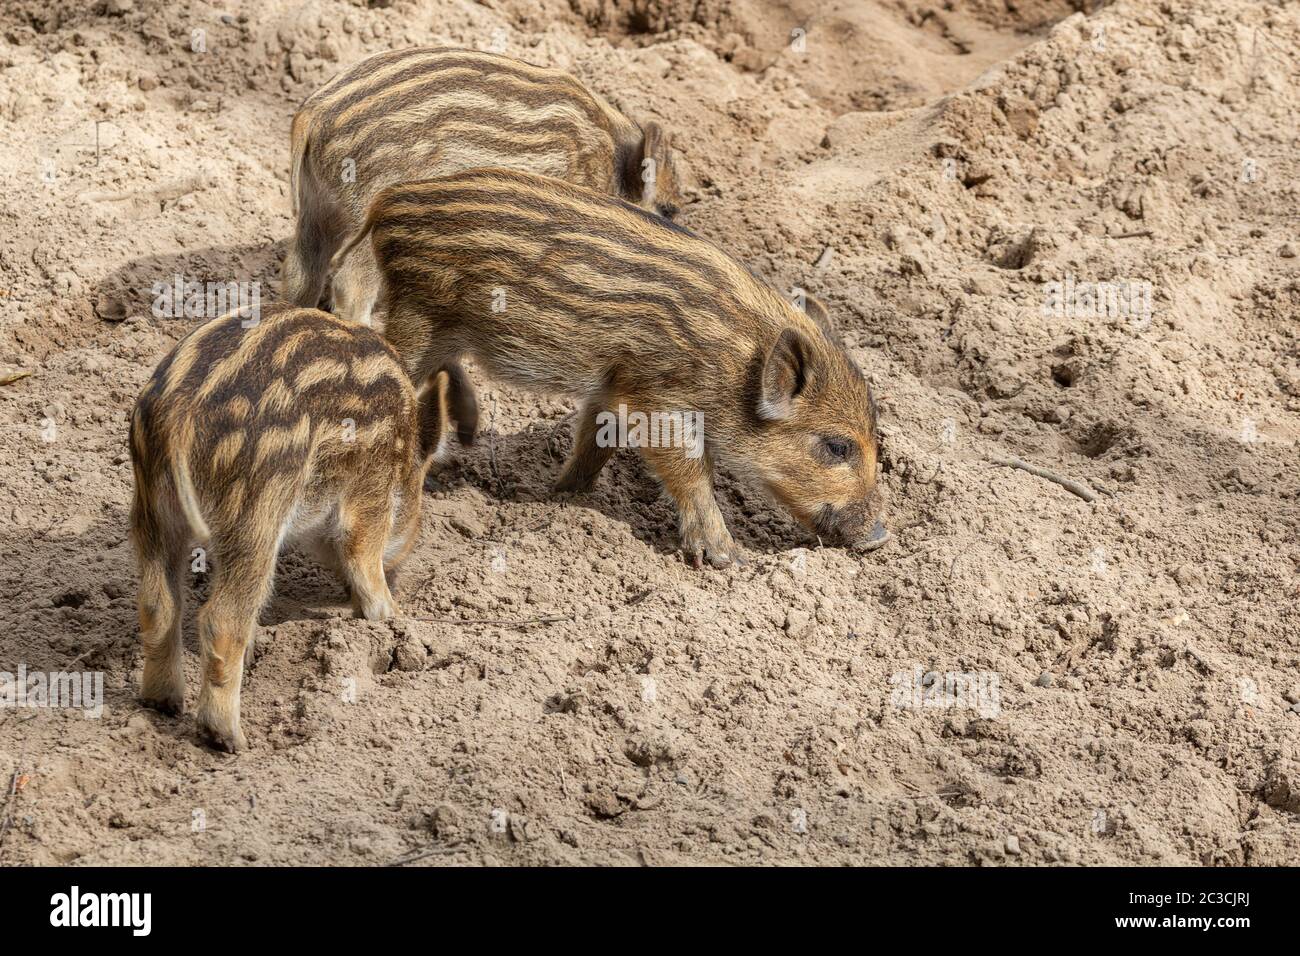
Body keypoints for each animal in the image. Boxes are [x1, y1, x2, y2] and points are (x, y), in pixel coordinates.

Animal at [129, 306, 437, 751]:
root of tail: (176, 413)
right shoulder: (370, 489)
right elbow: (363, 558)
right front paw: (395, 620)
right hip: (255, 511)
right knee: (221, 619)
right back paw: (230, 739)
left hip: (153, 508)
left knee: (157, 604)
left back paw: (163, 703)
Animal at [332, 168, 888, 568]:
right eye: (837, 446)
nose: (880, 537)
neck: (735, 363)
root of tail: (386, 204)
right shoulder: (660, 398)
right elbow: (691, 471)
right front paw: (729, 560)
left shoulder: (611, 384)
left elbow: (594, 443)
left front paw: (554, 496)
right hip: (417, 316)